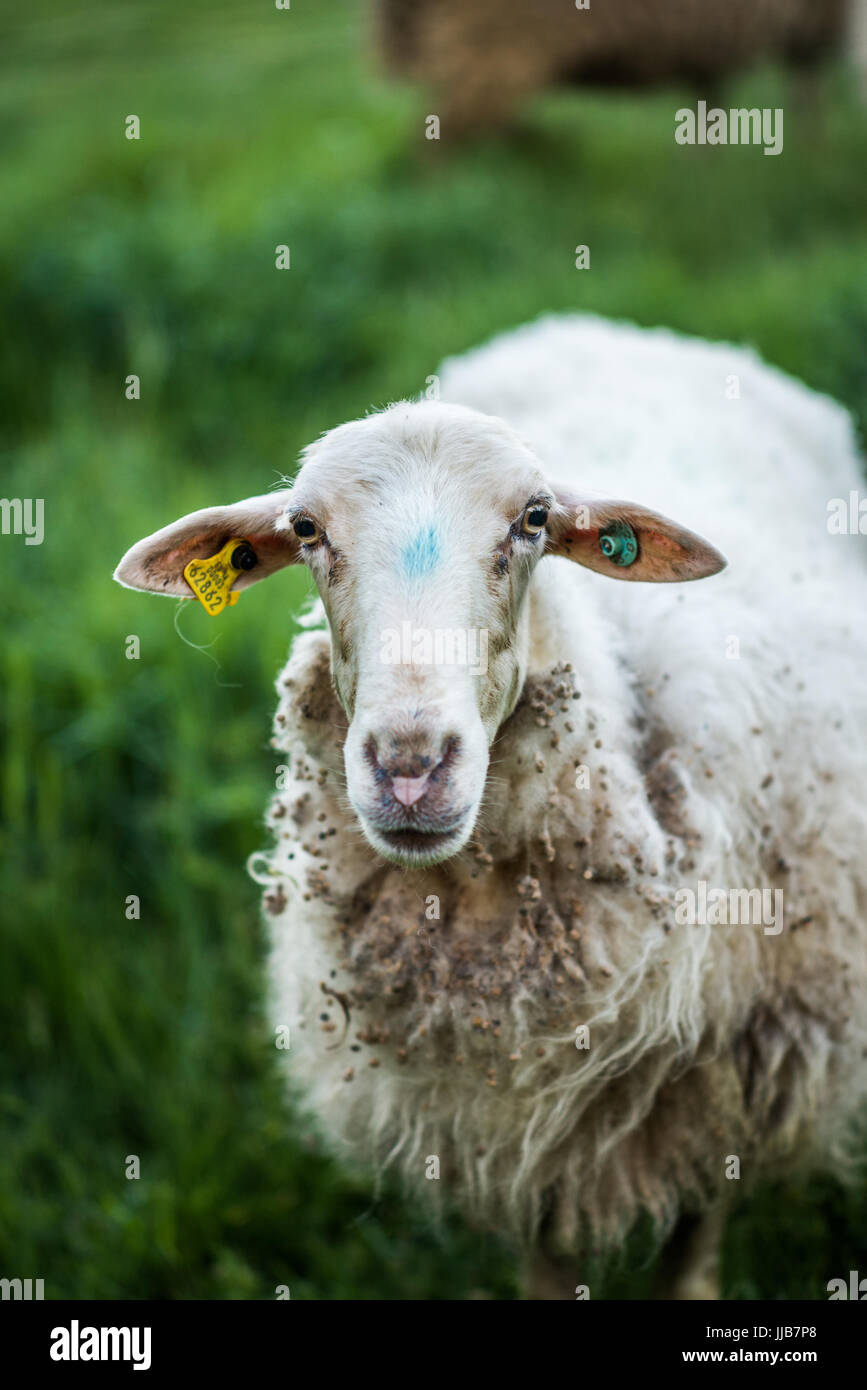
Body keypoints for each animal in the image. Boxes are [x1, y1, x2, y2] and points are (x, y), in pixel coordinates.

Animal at [114, 313, 867, 1299]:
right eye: (306, 529)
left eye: (534, 520)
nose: (409, 766)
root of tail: (609, 326)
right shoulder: (514, 1126)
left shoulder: (736, 1084)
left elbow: (691, 1247)